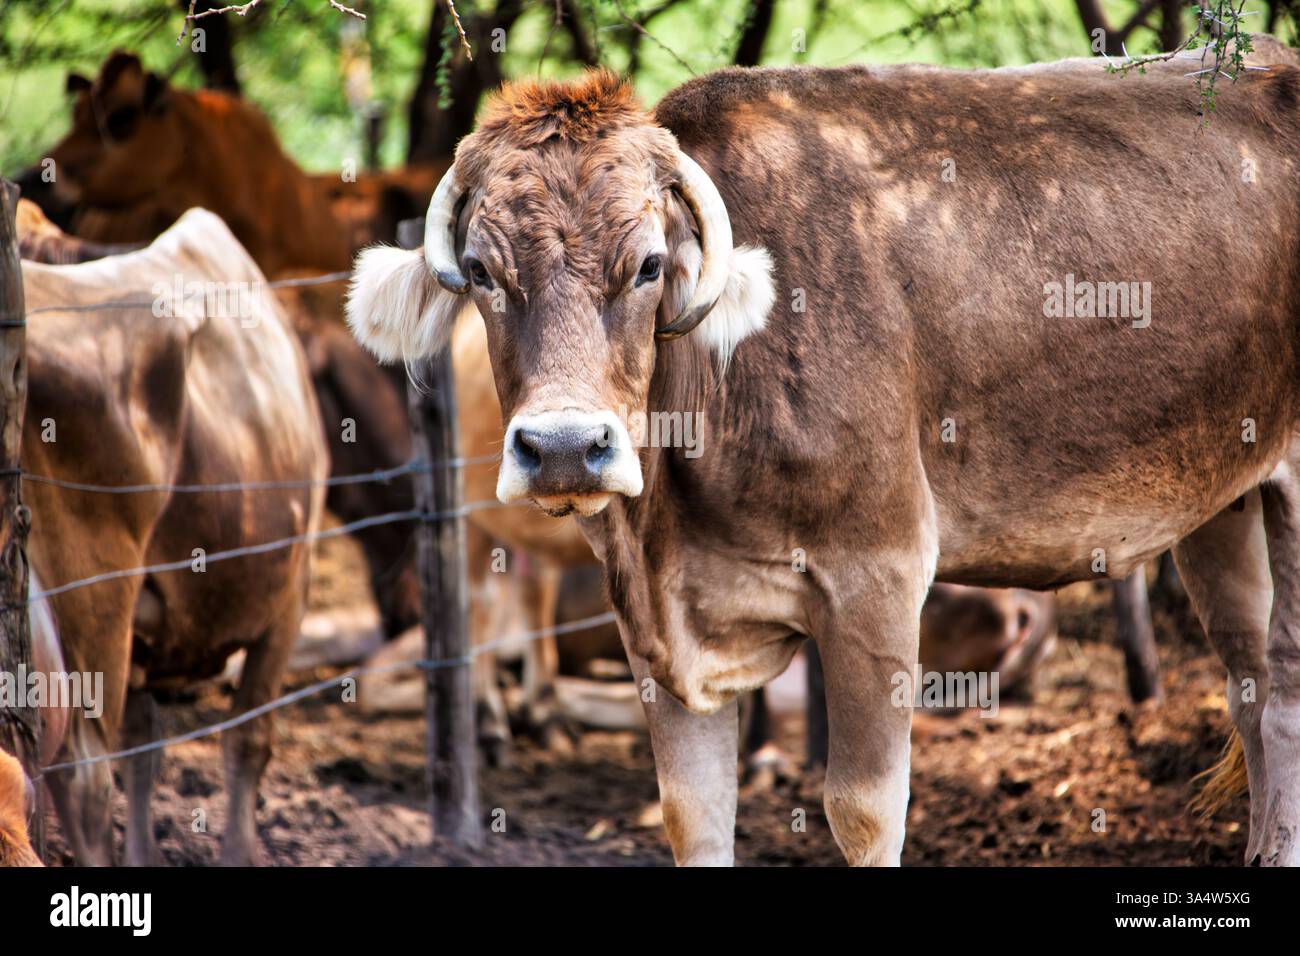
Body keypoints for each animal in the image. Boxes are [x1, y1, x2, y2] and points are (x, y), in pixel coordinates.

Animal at [347, 56, 1300, 867]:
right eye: (480, 270)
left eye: (650, 265)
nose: (564, 448)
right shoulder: (654, 629)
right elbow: (694, 813)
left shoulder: (878, 578)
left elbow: (865, 812)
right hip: (1218, 502)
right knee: (1251, 681)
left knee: (1284, 689)